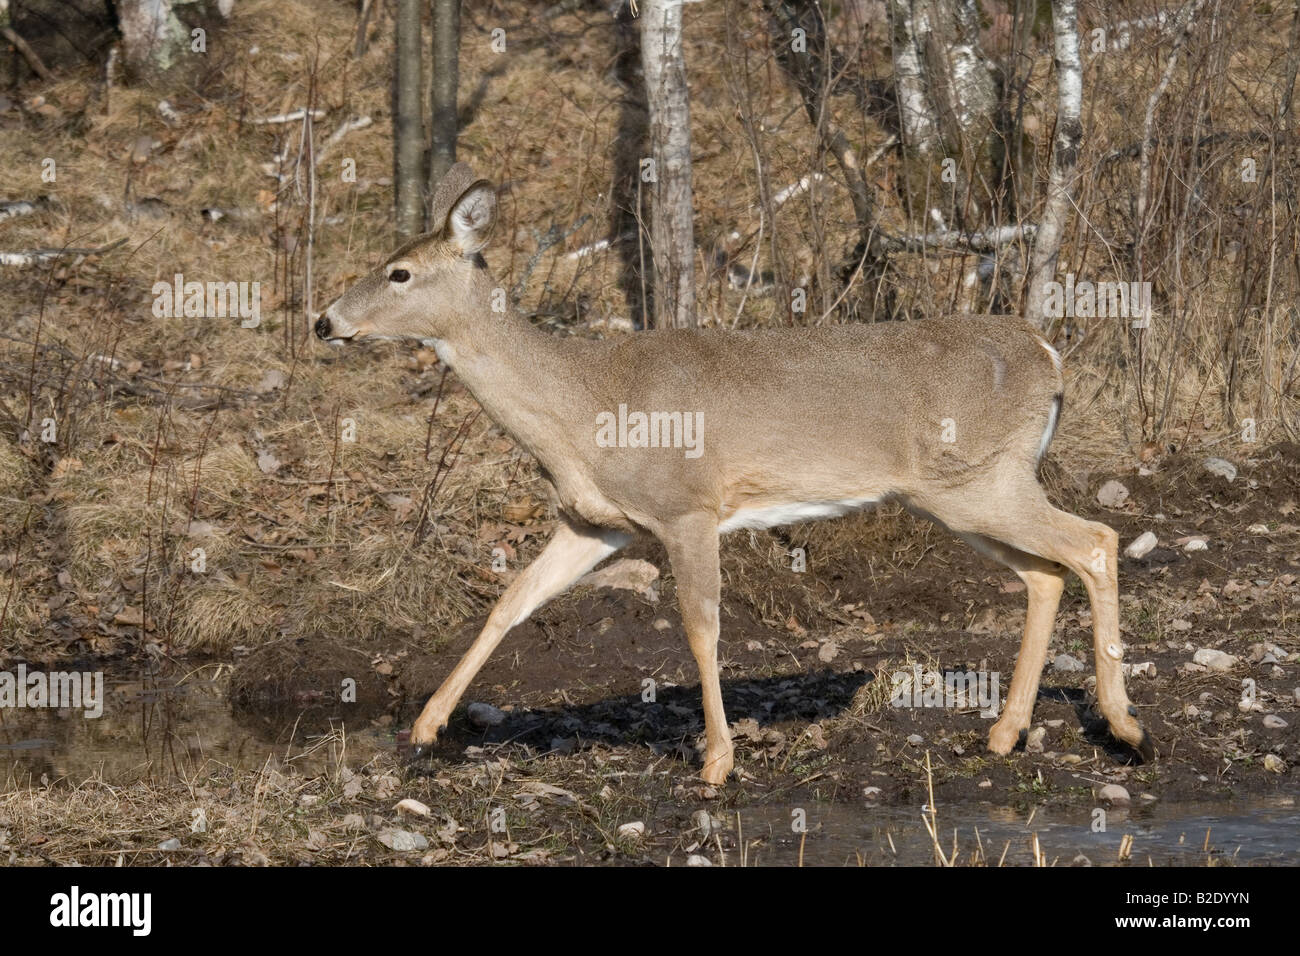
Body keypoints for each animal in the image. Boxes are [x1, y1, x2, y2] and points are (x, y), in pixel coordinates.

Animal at [314, 162, 1154, 785]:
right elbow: (509, 603)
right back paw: (1006, 733)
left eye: (398, 272)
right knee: (1046, 571)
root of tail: (1047, 353)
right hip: (956, 495)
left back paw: (1125, 726)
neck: (583, 405)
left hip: (982, 479)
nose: (324, 320)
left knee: (1095, 541)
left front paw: (717, 761)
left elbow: (701, 626)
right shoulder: (594, 522)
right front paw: (425, 727)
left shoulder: (685, 505)